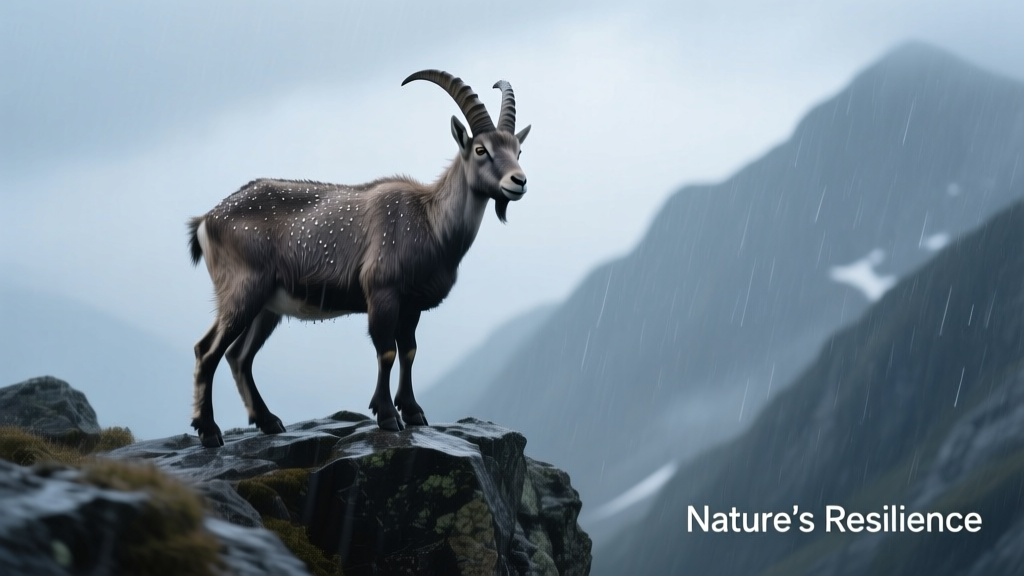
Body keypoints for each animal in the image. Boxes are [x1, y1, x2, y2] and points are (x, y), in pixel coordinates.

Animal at [187, 70, 531, 447]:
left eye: (518, 150)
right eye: (481, 149)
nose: (519, 181)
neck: (430, 222)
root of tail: (206, 219)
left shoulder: (411, 304)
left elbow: (409, 350)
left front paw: (413, 412)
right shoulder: (382, 293)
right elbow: (387, 351)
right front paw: (387, 415)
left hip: (267, 306)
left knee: (239, 356)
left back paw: (268, 421)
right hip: (242, 289)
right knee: (208, 350)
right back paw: (209, 431)